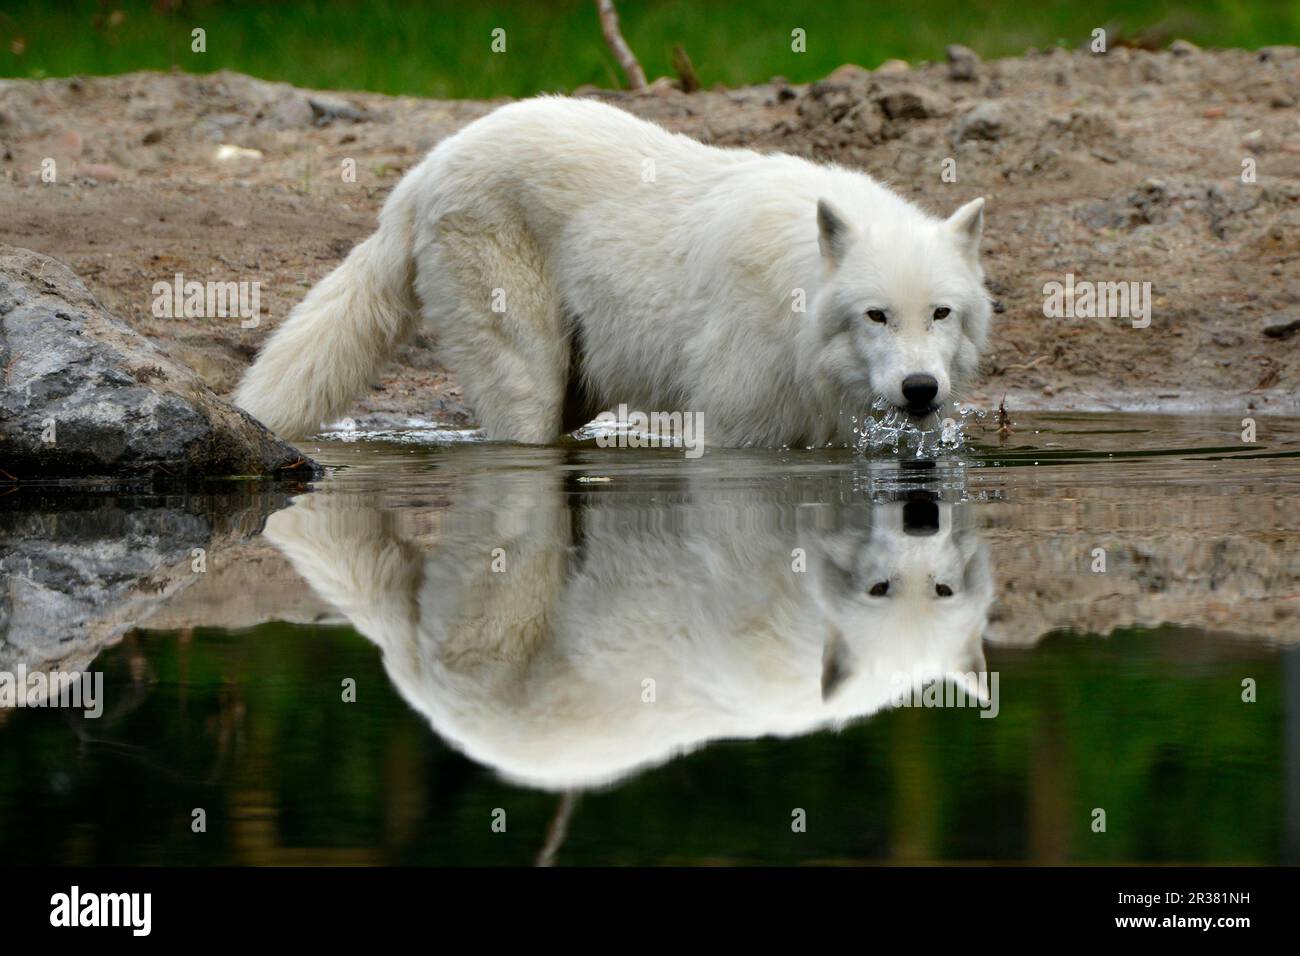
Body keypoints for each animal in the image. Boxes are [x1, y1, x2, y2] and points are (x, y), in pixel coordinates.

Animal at [235, 98, 992, 445]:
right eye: (876, 315)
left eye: (941, 314)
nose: (920, 389)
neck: (795, 297)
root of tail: (426, 167)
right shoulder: (735, 431)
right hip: (527, 380)